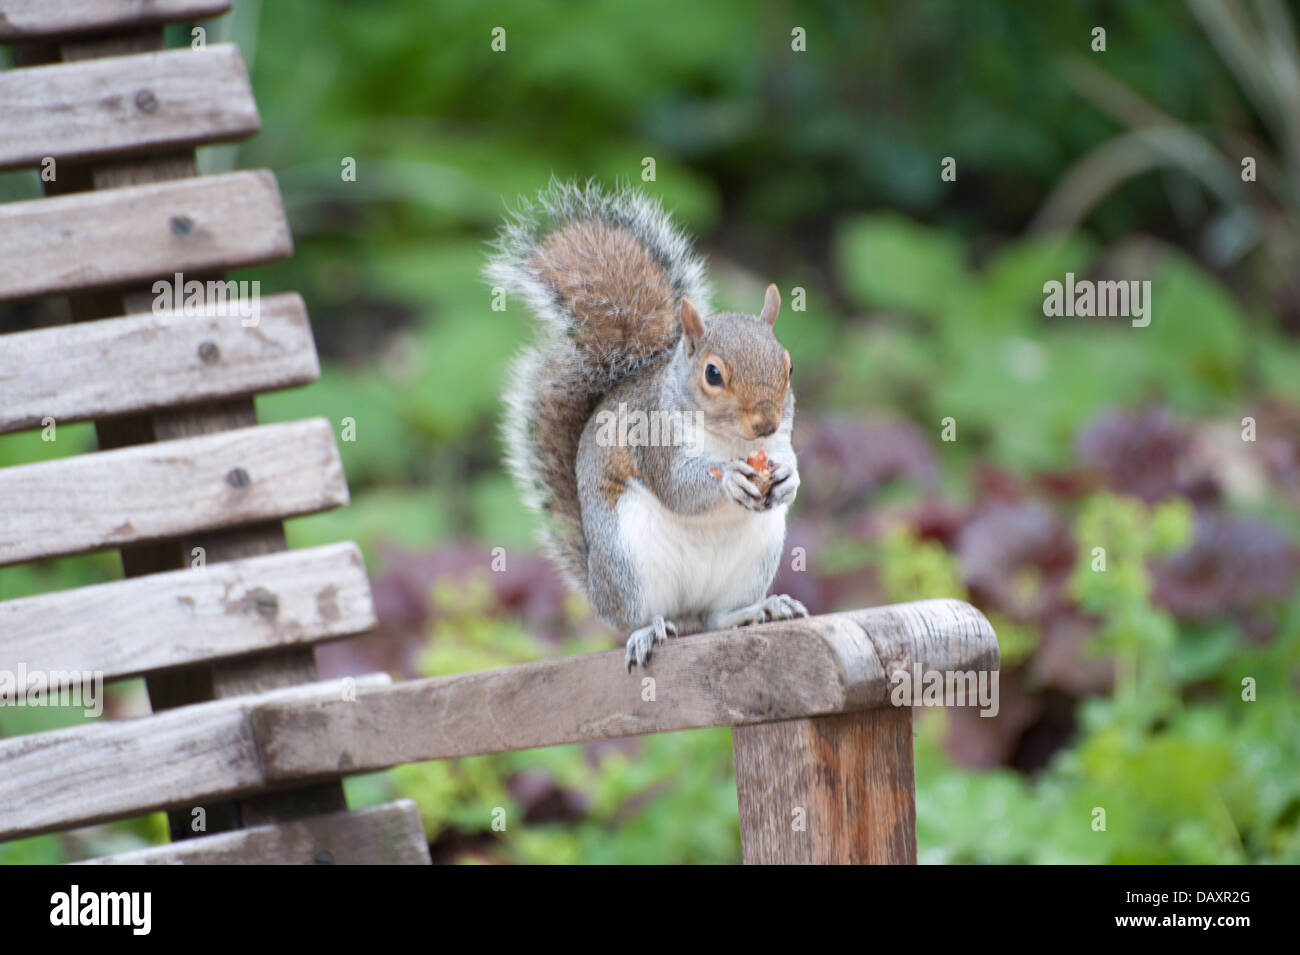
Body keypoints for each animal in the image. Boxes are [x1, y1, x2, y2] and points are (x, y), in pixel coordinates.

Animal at [487, 179, 807, 670]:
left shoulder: (778, 442)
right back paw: (647, 631)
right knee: (639, 617)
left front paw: (788, 479)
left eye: (788, 367)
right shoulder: (653, 438)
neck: (729, 440)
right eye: (713, 374)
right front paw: (728, 477)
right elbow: (678, 487)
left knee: (716, 618)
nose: (766, 422)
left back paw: (760, 608)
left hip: (753, 560)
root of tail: (597, 586)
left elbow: (786, 460)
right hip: (628, 563)